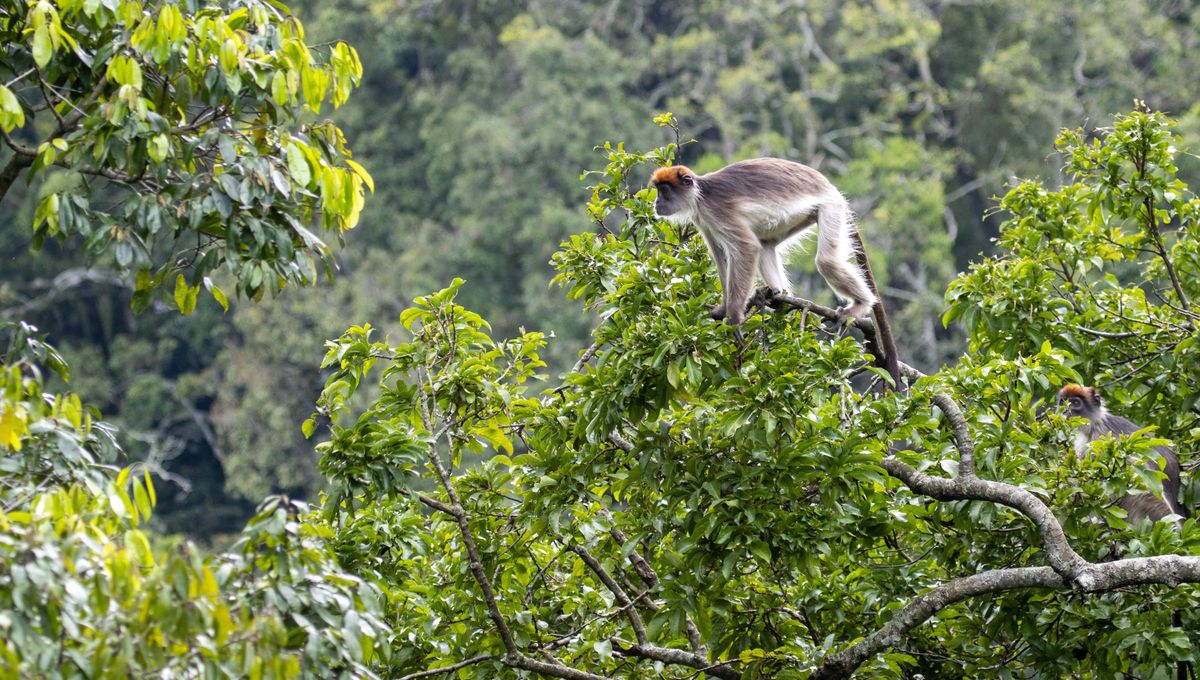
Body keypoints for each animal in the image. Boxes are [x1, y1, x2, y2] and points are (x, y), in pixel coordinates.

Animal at [650, 158, 901, 385]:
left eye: (664, 191)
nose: (656, 202)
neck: (700, 194)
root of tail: (828, 186)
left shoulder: (714, 210)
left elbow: (746, 248)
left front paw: (734, 316)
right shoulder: (703, 218)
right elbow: (722, 257)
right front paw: (724, 308)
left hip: (830, 207)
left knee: (825, 261)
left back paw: (861, 305)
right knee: (766, 244)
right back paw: (776, 296)